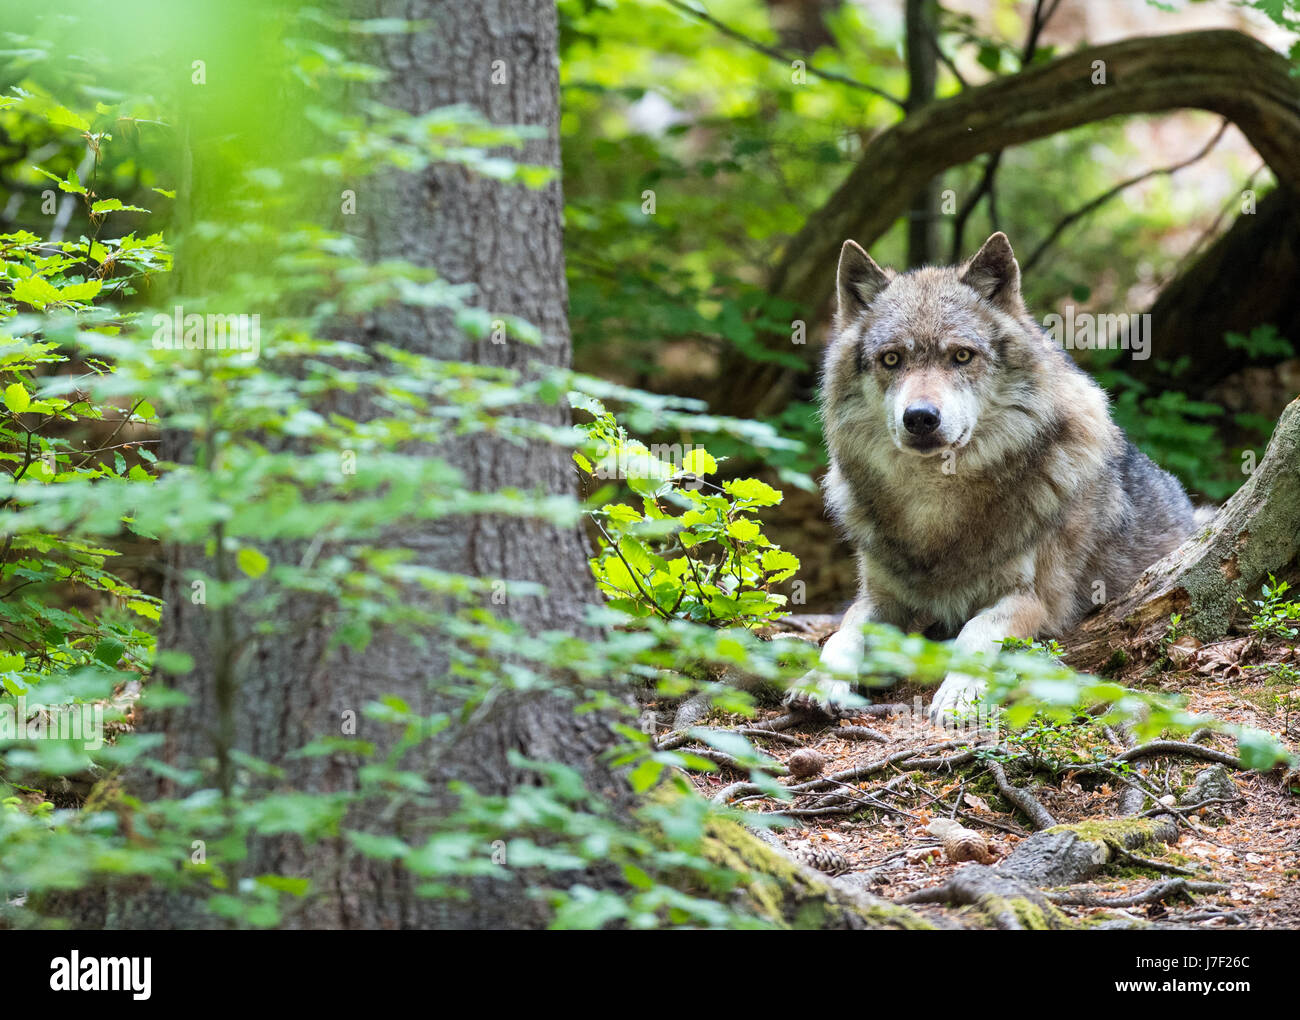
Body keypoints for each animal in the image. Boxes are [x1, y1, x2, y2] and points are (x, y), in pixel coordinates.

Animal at [787, 232, 1197, 723]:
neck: (935, 502)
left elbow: (976, 630)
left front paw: (958, 693)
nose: (920, 417)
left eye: (962, 355)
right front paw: (819, 681)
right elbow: (843, 631)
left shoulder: (1035, 601)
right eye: (891, 359)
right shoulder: (878, 597)